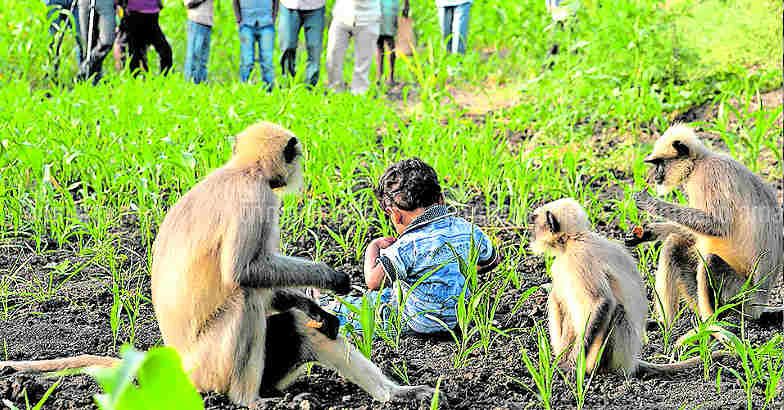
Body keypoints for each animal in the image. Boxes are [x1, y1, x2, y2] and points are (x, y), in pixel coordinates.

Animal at [0, 122, 434, 405]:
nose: (300, 168)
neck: (241, 170)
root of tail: (182, 365)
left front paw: (317, 306)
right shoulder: (256, 198)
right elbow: (245, 273)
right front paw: (329, 277)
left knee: (297, 324)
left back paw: (393, 393)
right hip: (213, 365)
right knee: (247, 297)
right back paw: (247, 400)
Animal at [530, 198, 727, 376]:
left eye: (535, 221)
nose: (531, 234)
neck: (573, 239)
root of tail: (631, 361)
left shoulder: (579, 256)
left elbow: (602, 302)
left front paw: (570, 367)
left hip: (614, 354)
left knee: (616, 310)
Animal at [627, 124, 783, 332]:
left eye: (660, 164)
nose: (656, 176)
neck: (699, 163)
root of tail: (758, 307)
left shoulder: (711, 175)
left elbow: (717, 226)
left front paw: (650, 203)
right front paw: (648, 232)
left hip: (740, 296)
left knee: (710, 261)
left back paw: (711, 327)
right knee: (674, 245)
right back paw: (667, 327)